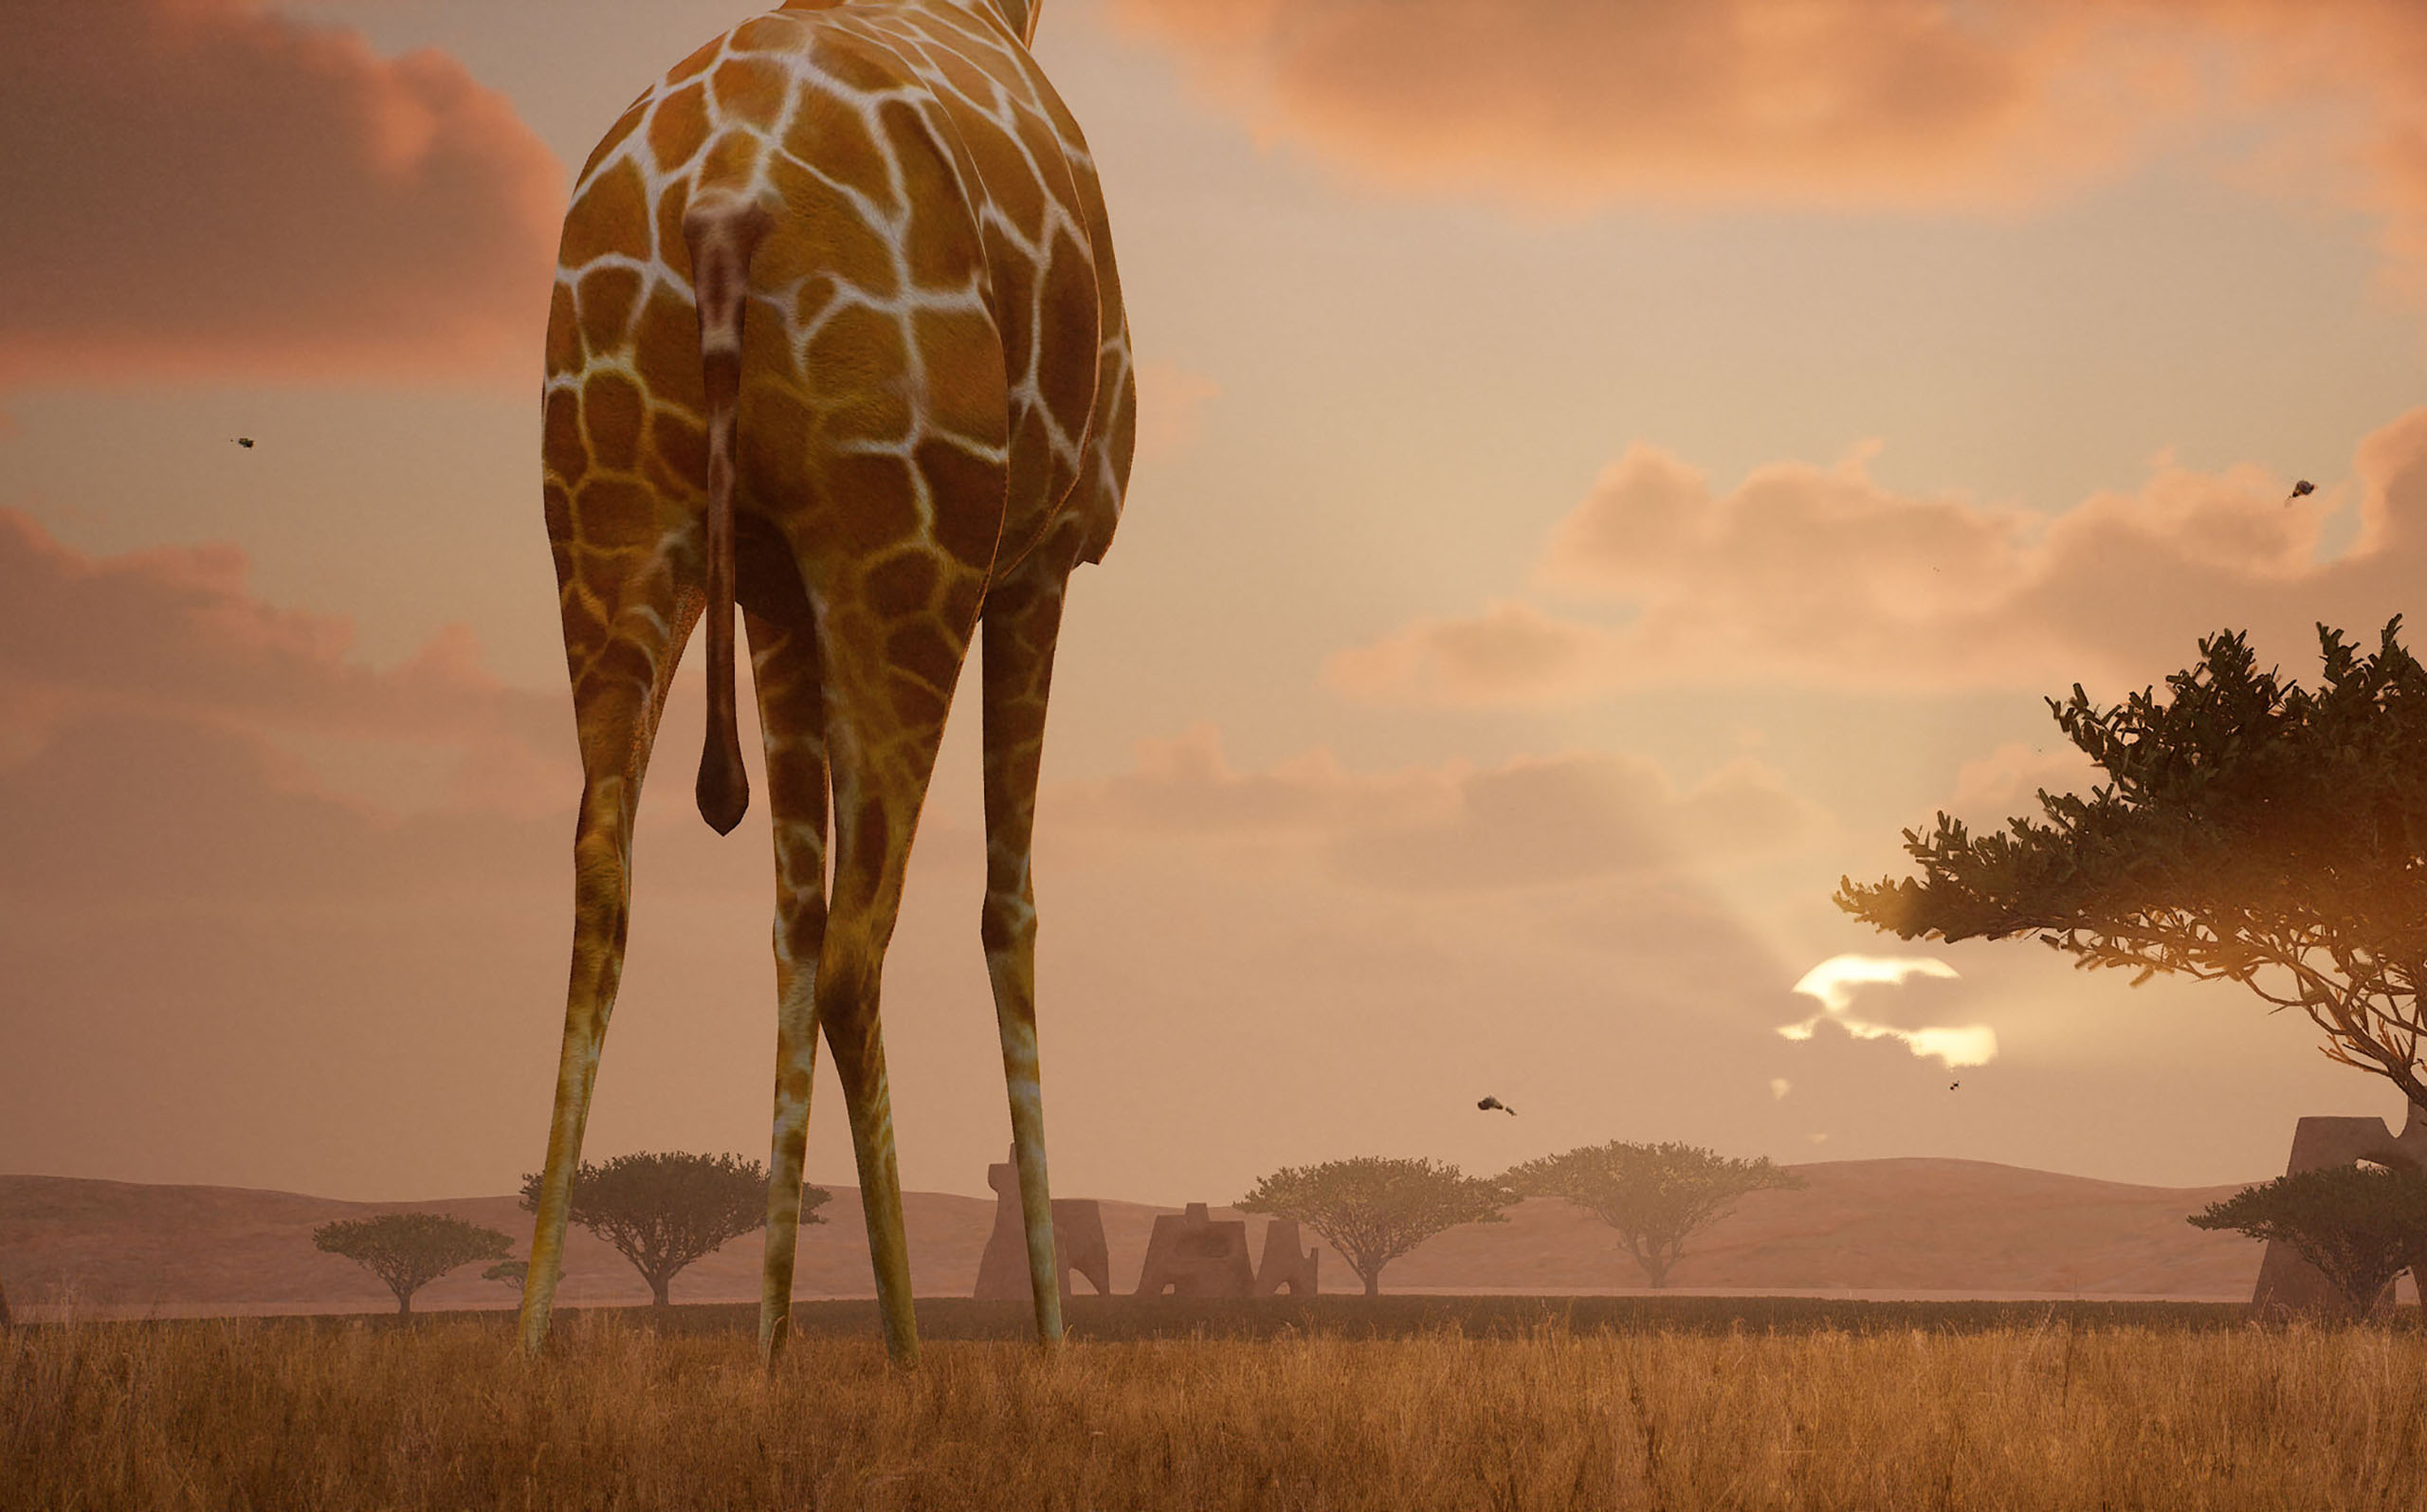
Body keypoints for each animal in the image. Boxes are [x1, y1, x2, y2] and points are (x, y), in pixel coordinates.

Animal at [517, 0, 1134, 1364]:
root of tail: (722, 210)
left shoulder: (771, 592)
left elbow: (785, 918)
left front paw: (768, 1351)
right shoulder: (1043, 558)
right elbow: (1007, 911)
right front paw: (1055, 1346)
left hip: (607, 517)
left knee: (606, 876)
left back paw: (526, 1346)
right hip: (909, 547)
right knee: (862, 940)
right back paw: (908, 1357)